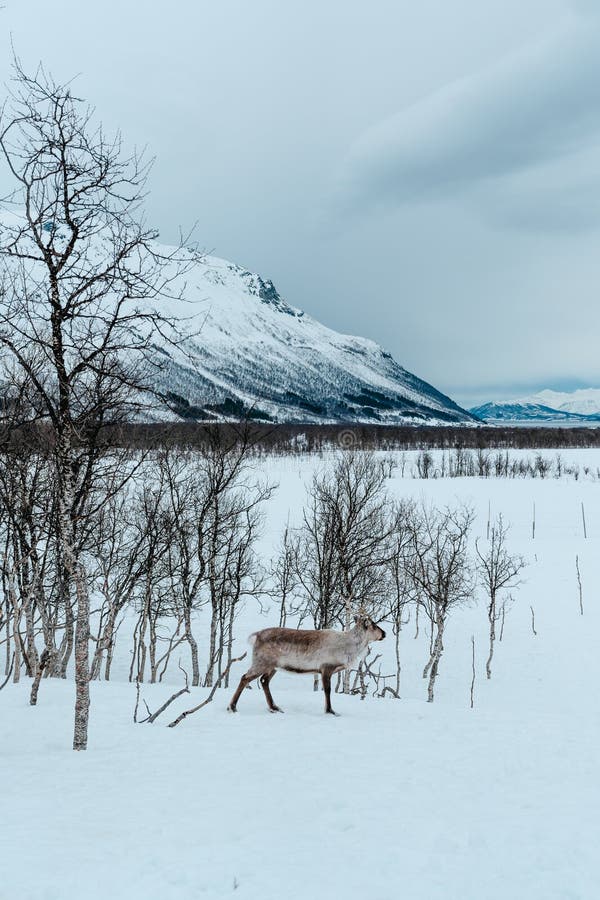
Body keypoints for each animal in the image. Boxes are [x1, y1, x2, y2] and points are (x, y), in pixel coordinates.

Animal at [227, 614, 386, 715]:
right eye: (374, 625)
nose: (384, 633)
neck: (350, 647)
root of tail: (257, 635)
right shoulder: (326, 668)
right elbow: (327, 690)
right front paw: (330, 711)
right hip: (262, 662)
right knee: (245, 677)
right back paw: (232, 707)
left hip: (273, 666)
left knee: (264, 681)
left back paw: (274, 707)